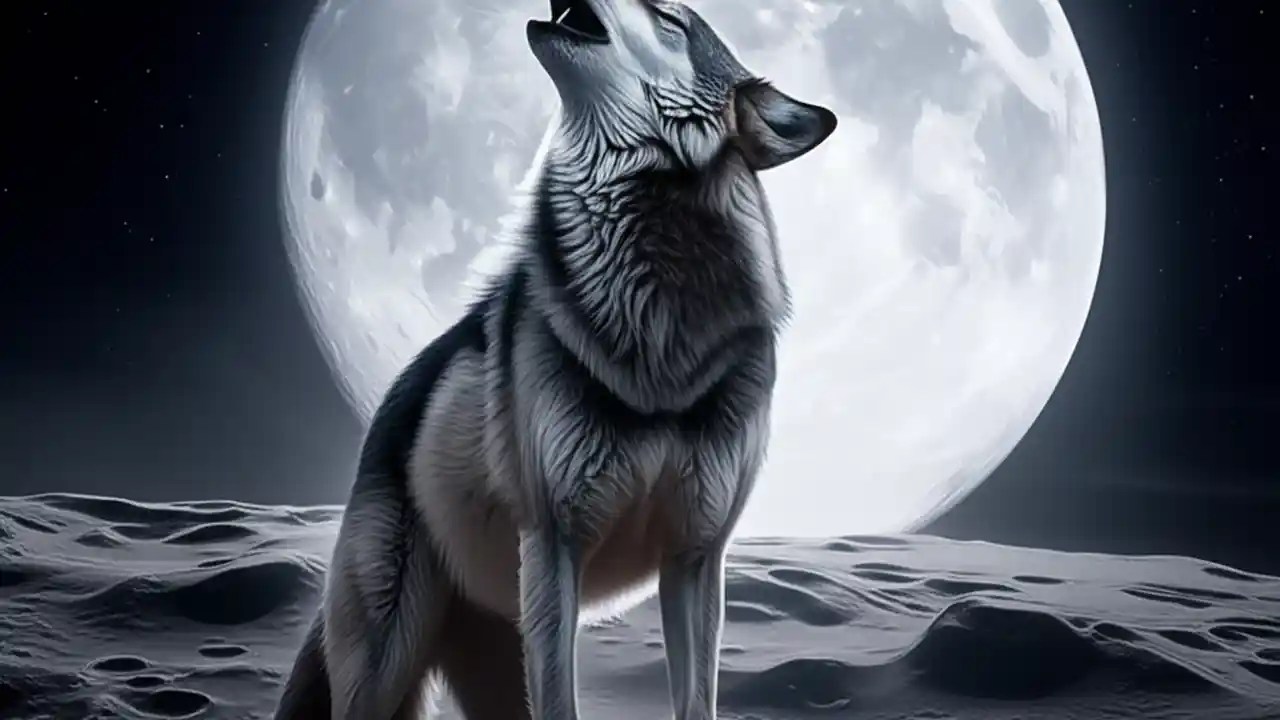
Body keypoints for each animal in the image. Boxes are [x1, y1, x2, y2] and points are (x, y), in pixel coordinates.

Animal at [274, 0, 835, 718]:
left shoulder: (695, 555)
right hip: (385, 659)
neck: (654, 327)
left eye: (669, 16)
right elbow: (561, 694)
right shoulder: (554, 542)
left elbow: (695, 698)